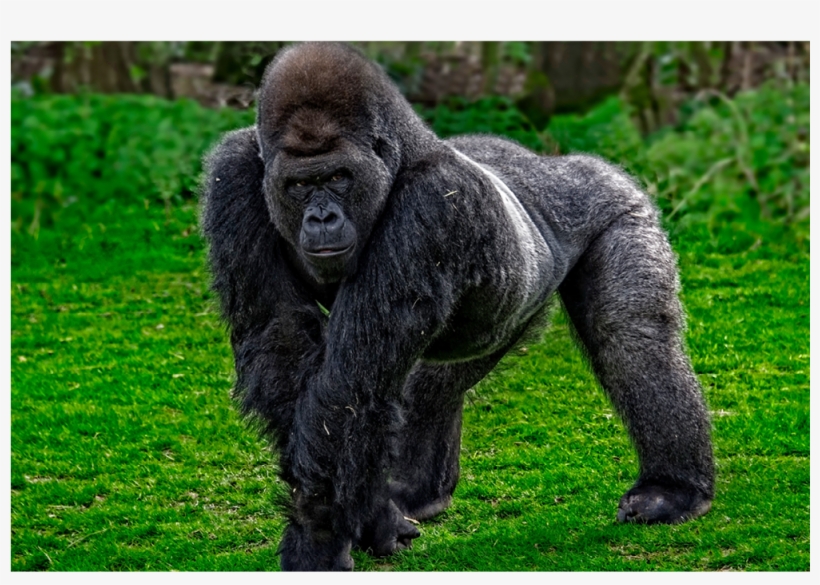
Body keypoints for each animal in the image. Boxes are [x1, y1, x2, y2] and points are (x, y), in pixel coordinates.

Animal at [200, 42, 714, 571]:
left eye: (339, 177)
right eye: (300, 185)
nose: (321, 218)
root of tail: (562, 162)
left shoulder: (433, 206)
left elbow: (348, 391)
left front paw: (317, 537)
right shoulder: (233, 174)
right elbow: (281, 338)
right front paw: (365, 519)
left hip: (618, 202)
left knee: (631, 337)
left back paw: (671, 488)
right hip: (512, 307)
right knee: (437, 377)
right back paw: (416, 489)